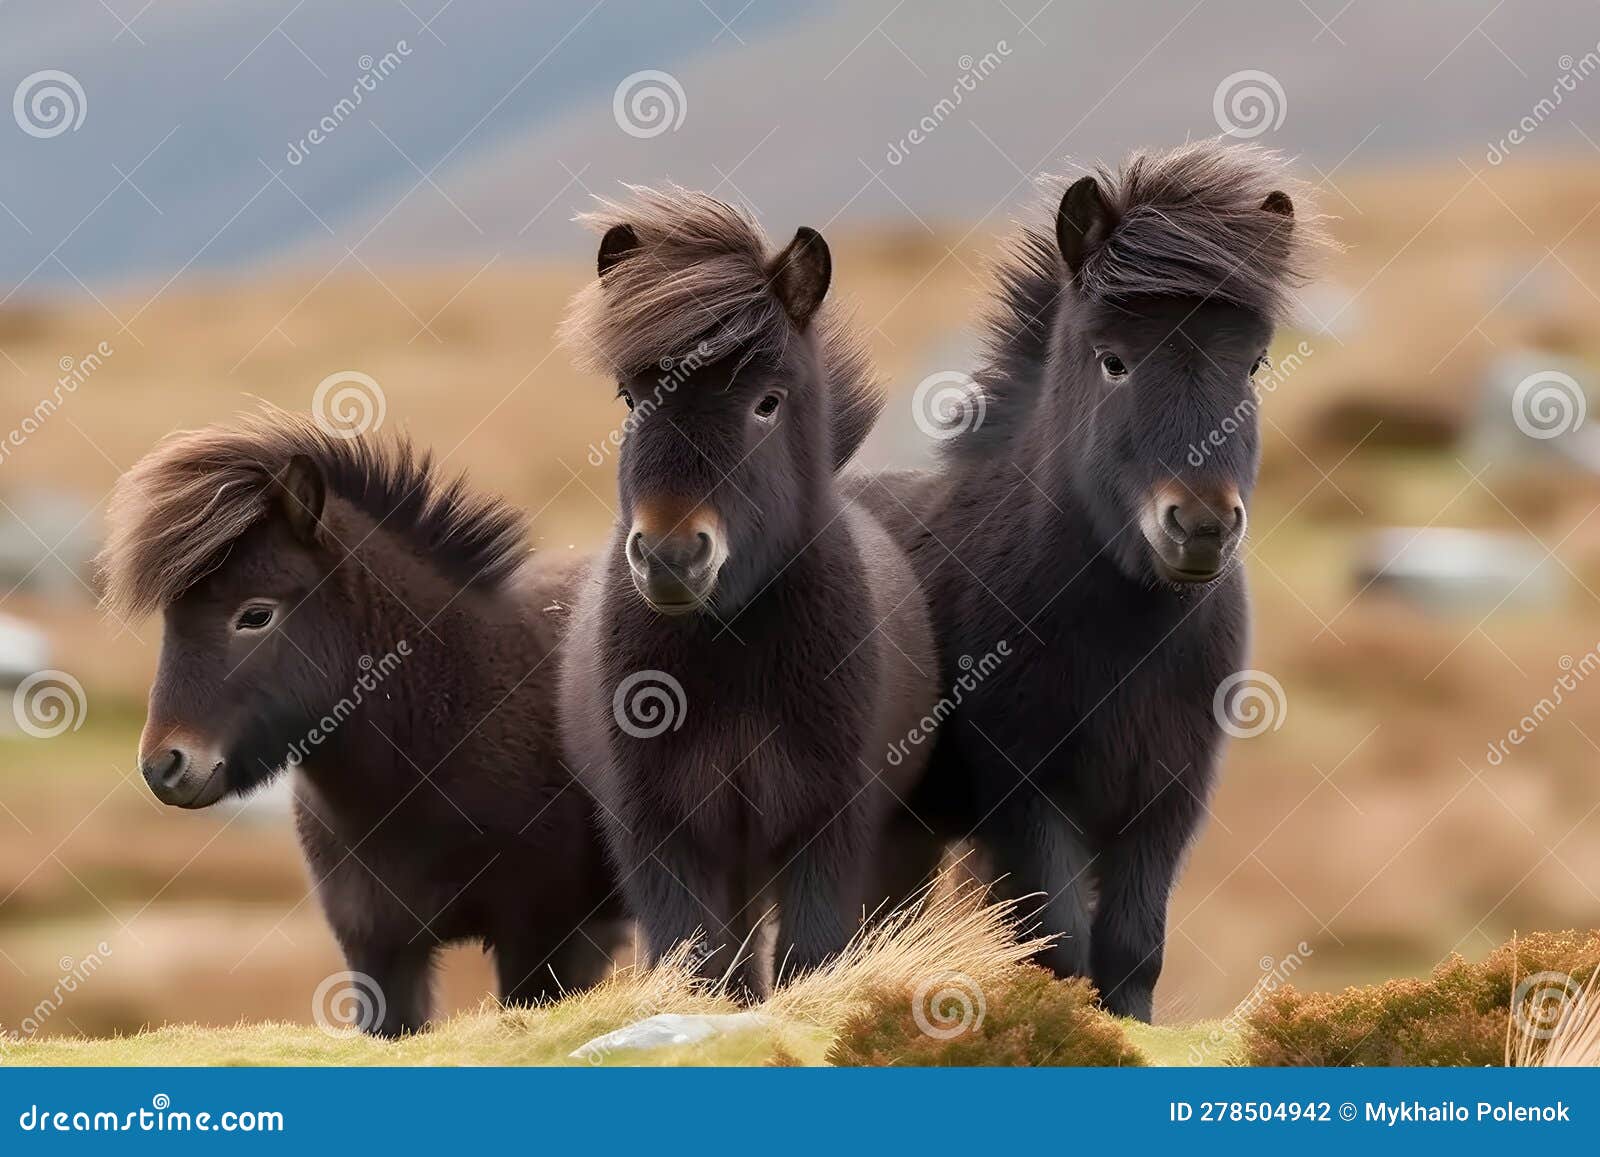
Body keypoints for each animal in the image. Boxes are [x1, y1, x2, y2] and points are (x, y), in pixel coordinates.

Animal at [557, 187, 938, 999]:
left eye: (768, 402)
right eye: (630, 396)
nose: (671, 556)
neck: (732, 653)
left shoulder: (829, 826)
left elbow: (812, 955)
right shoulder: (663, 835)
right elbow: (697, 963)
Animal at [864, 142, 1333, 1021]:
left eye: (1253, 364)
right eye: (1113, 360)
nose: (1200, 525)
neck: (1126, 639)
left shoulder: (1167, 799)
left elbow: (1134, 948)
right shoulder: (1028, 798)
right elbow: (1061, 945)